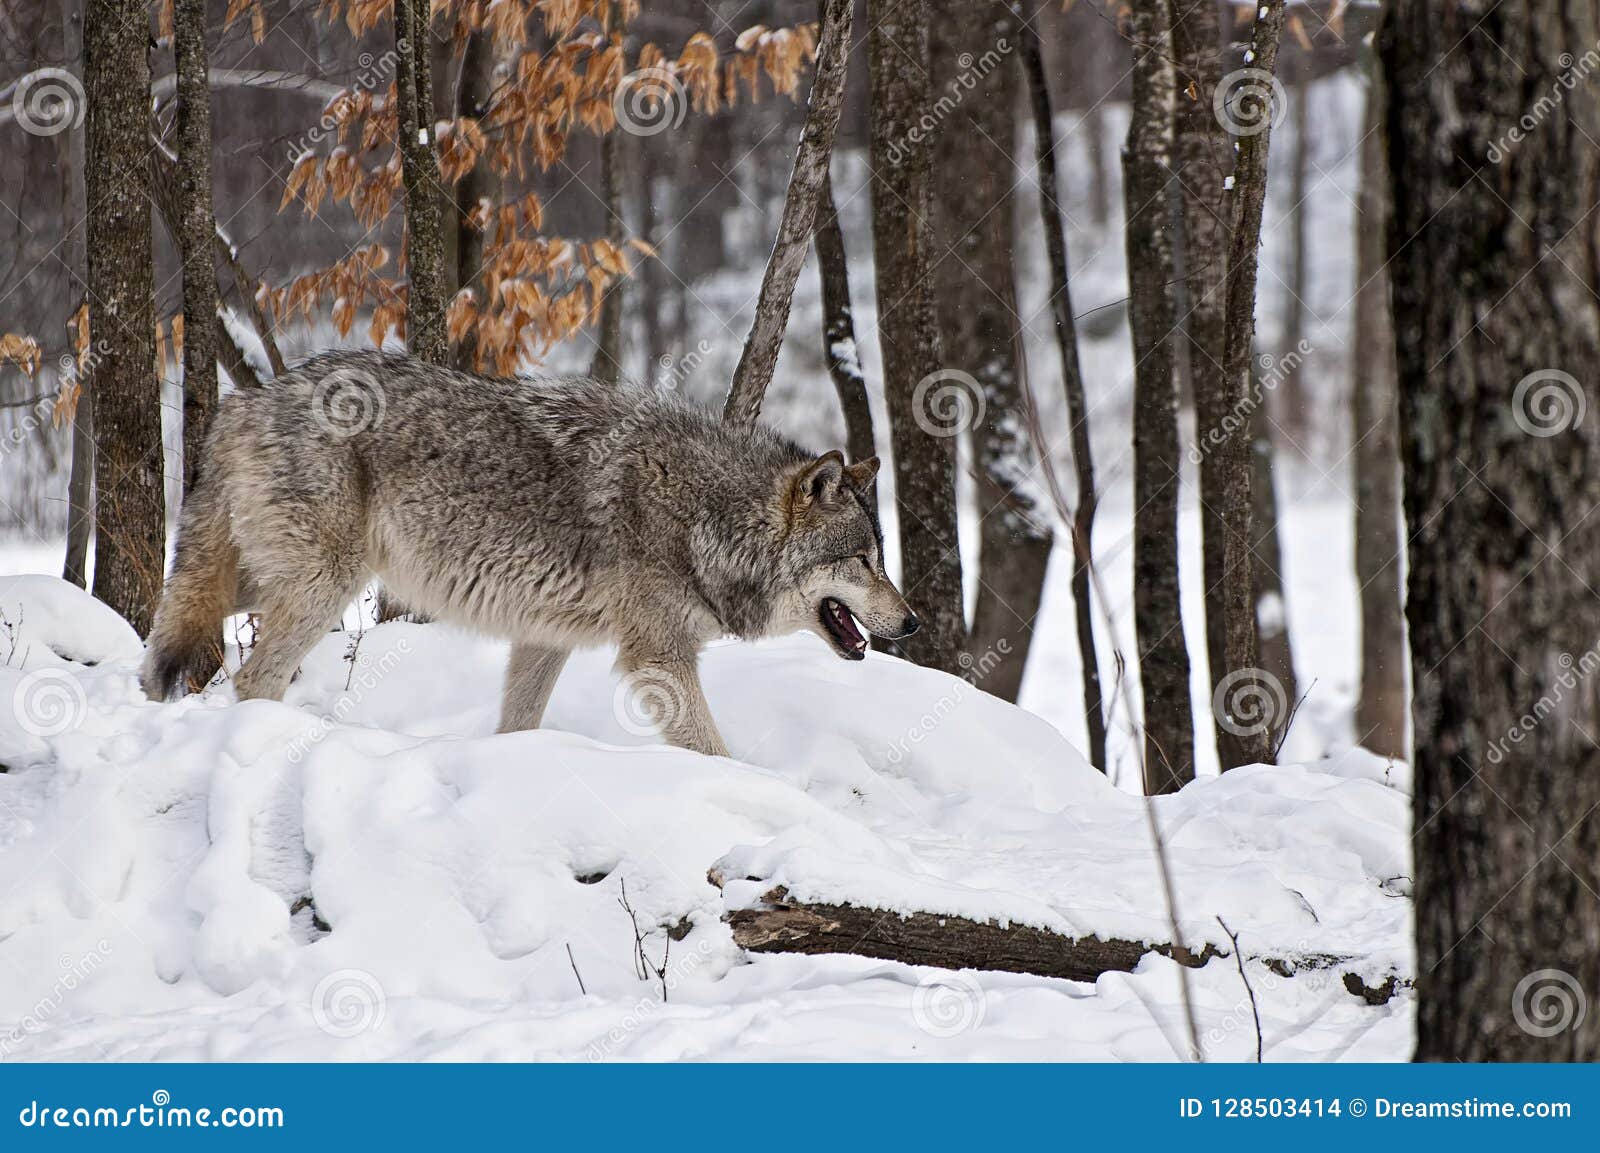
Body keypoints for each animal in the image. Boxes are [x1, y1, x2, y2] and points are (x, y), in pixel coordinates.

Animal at [141, 350, 919, 757]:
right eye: (862, 561)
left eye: (882, 556)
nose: (911, 622)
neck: (707, 515)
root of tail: (246, 398)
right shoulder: (659, 658)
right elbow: (714, 751)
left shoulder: (545, 639)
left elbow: (517, 725)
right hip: (323, 584)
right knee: (251, 680)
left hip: (260, 580)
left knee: (167, 627)